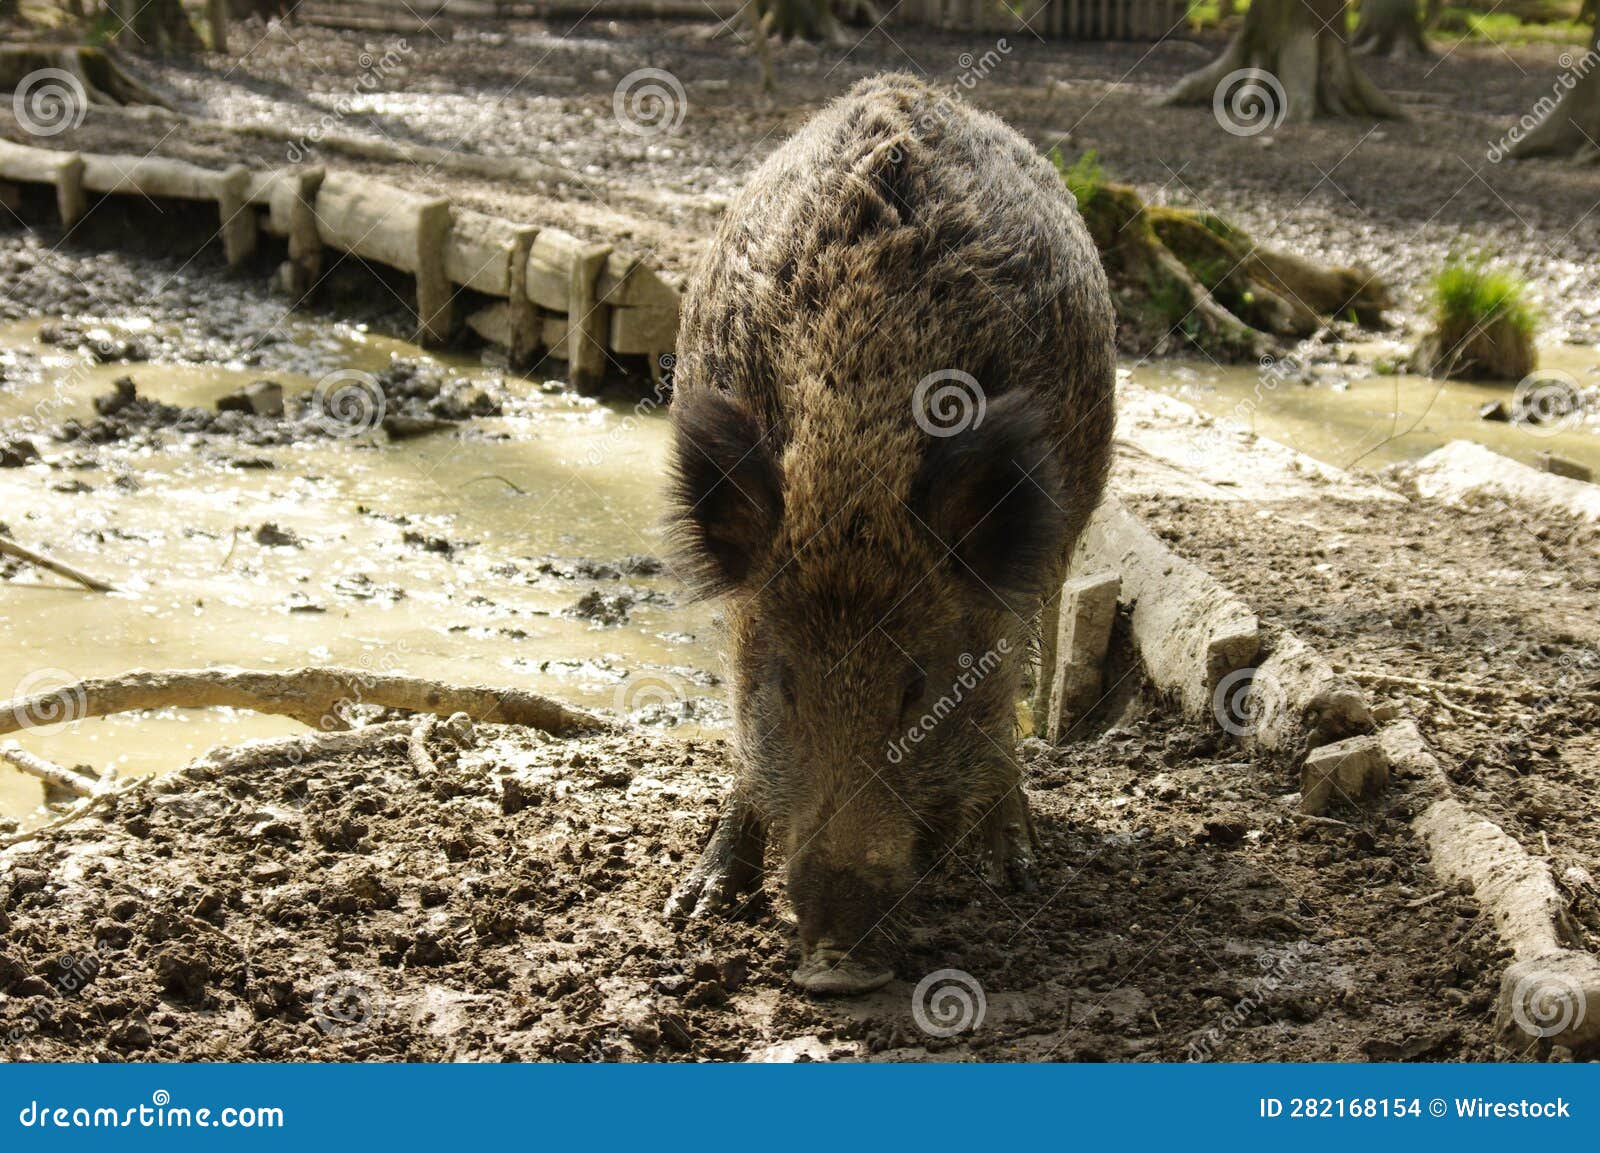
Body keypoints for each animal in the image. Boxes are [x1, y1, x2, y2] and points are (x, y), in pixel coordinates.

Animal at [663, 74, 1115, 995]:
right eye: (785, 685)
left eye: (918, 688)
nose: (836, 969)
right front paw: (691, 908)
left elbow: (996, 700)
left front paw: (1002, 877)